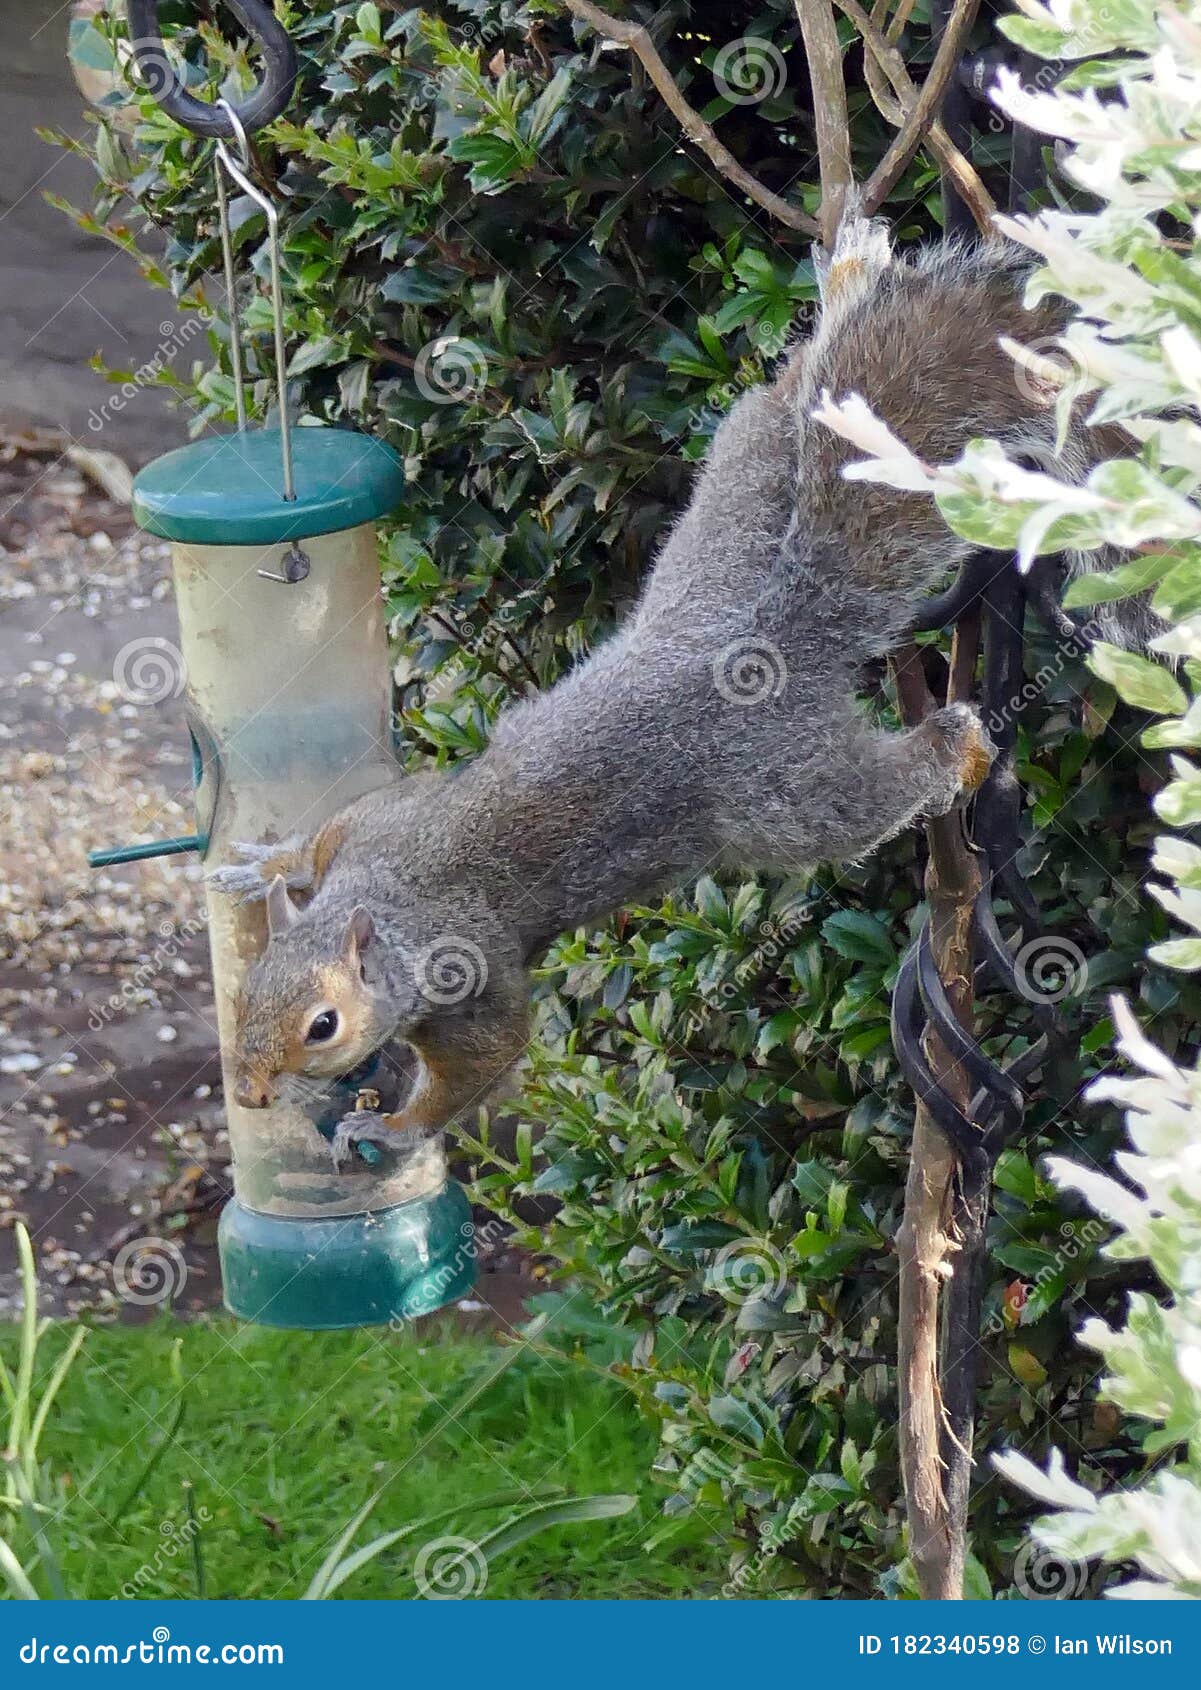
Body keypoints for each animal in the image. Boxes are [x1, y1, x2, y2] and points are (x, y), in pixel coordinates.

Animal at [211, 219, 1126, 1169]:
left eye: (323, 1025)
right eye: (247, 996)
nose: (251, 1092)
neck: (382, 904)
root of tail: (759, 641)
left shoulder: (468, 977)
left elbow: (482, 1062)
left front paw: (390, 1128)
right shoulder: (375, 825)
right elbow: (326, 838)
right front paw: (265, 865)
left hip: (793, 798)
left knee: (881, 790)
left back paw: (966, 747)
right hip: (736, 492)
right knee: (790, 399)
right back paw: (847, 279)